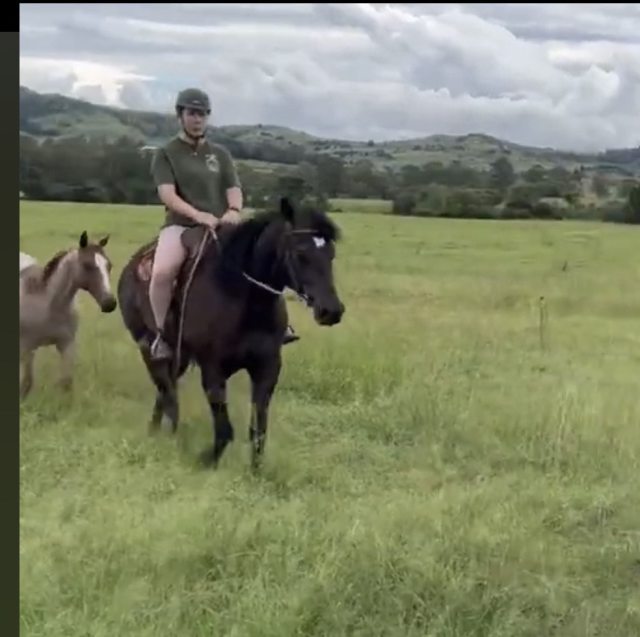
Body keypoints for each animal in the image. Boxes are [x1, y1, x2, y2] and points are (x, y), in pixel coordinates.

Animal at [19, 231, 117, 399]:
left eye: (108, 265)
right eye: (87, 265)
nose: (109, 303)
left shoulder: (67, 344)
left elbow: (66, 383)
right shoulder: (27, 348)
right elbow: (26, 383)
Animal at [116, 197, 345, 470]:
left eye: (331, 254)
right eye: (300, 253)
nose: (331, 311)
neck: (239, 293)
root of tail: (132, 265)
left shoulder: (267, 368)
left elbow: (258, 431)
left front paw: (255, 472)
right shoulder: (213, 371)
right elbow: (225, 430)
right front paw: (206, 461)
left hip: (178, 357)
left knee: (165, 391)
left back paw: (155, 432)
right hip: (149, 347)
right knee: (166, 390)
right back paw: (168, 434)